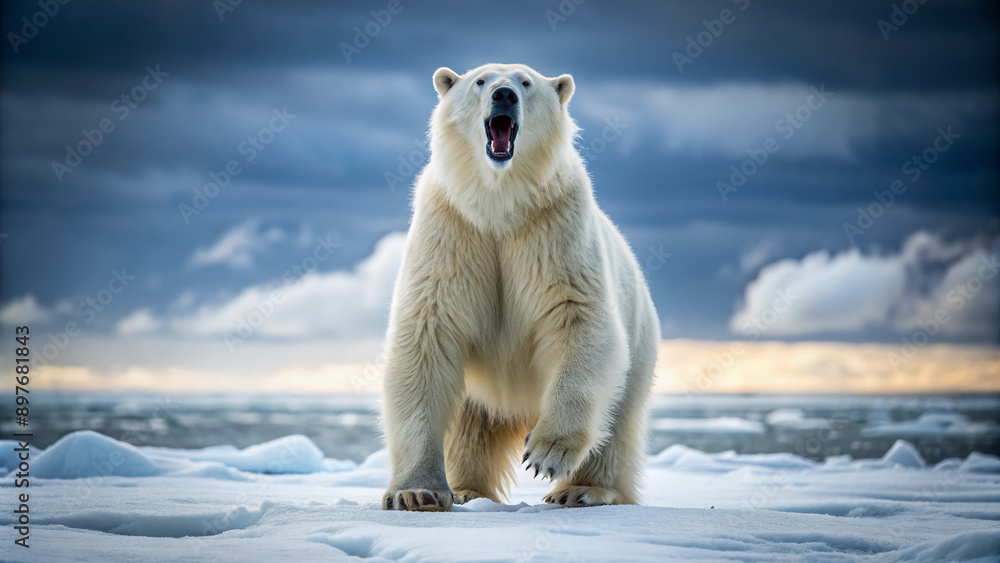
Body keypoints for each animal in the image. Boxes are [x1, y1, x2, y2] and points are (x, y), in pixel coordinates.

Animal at [381, 63, 659, 512]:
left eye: (526, 82)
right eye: (480, 81)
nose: (504, 95)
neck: (499, 206)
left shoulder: (555, 228)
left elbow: (579, 322)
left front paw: (546, 453)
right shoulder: (450, 229)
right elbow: (426, 336)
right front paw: (415, 493)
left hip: (640, 338)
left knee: (619, 420)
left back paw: (582, 490)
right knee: (470, 423)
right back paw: (467, 488)